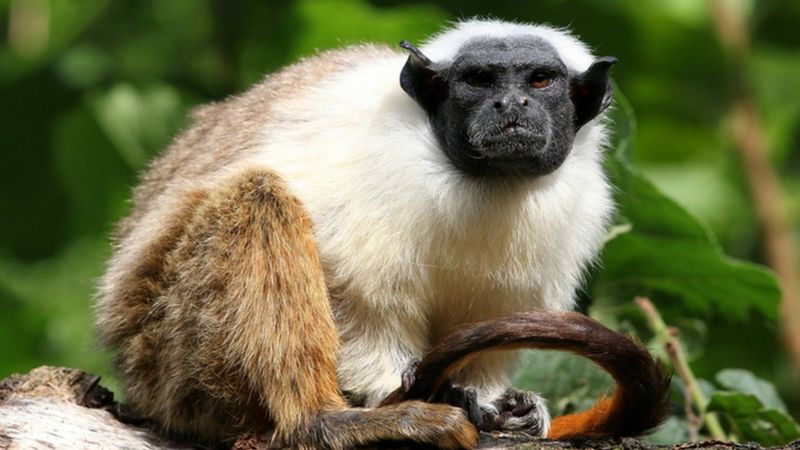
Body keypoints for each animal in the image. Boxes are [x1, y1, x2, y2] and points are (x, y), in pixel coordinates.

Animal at [95, 19, 647, 448]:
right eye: (479, 80)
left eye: (539, 81)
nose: (510, 105)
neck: (489, 183)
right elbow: (357, 298)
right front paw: (394, 392)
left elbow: (495, 326)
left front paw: (497, 403)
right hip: (168, 352)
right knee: (258, 195)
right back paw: (320, 423)